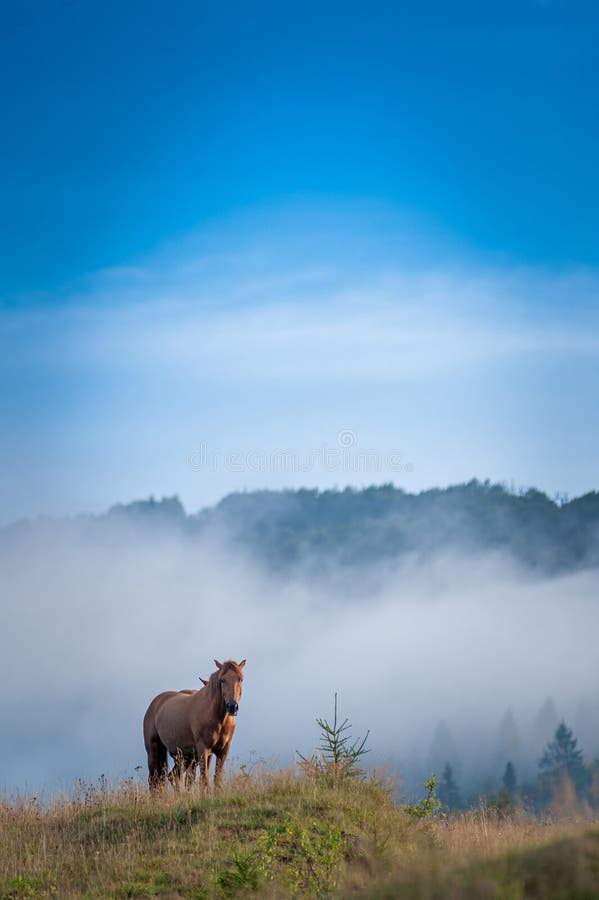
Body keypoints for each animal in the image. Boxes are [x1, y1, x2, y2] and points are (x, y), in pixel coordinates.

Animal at [143, 658, 246, 791]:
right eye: (222, 680)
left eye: (240, 679)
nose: (232, 706)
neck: (218, 719)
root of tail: (155, 703)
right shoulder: (203, 749)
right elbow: (204, 780)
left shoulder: (222, 751)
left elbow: (217, 779)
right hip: (154, 751)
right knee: (154, 780)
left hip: (184, 756)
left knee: (173, 777)